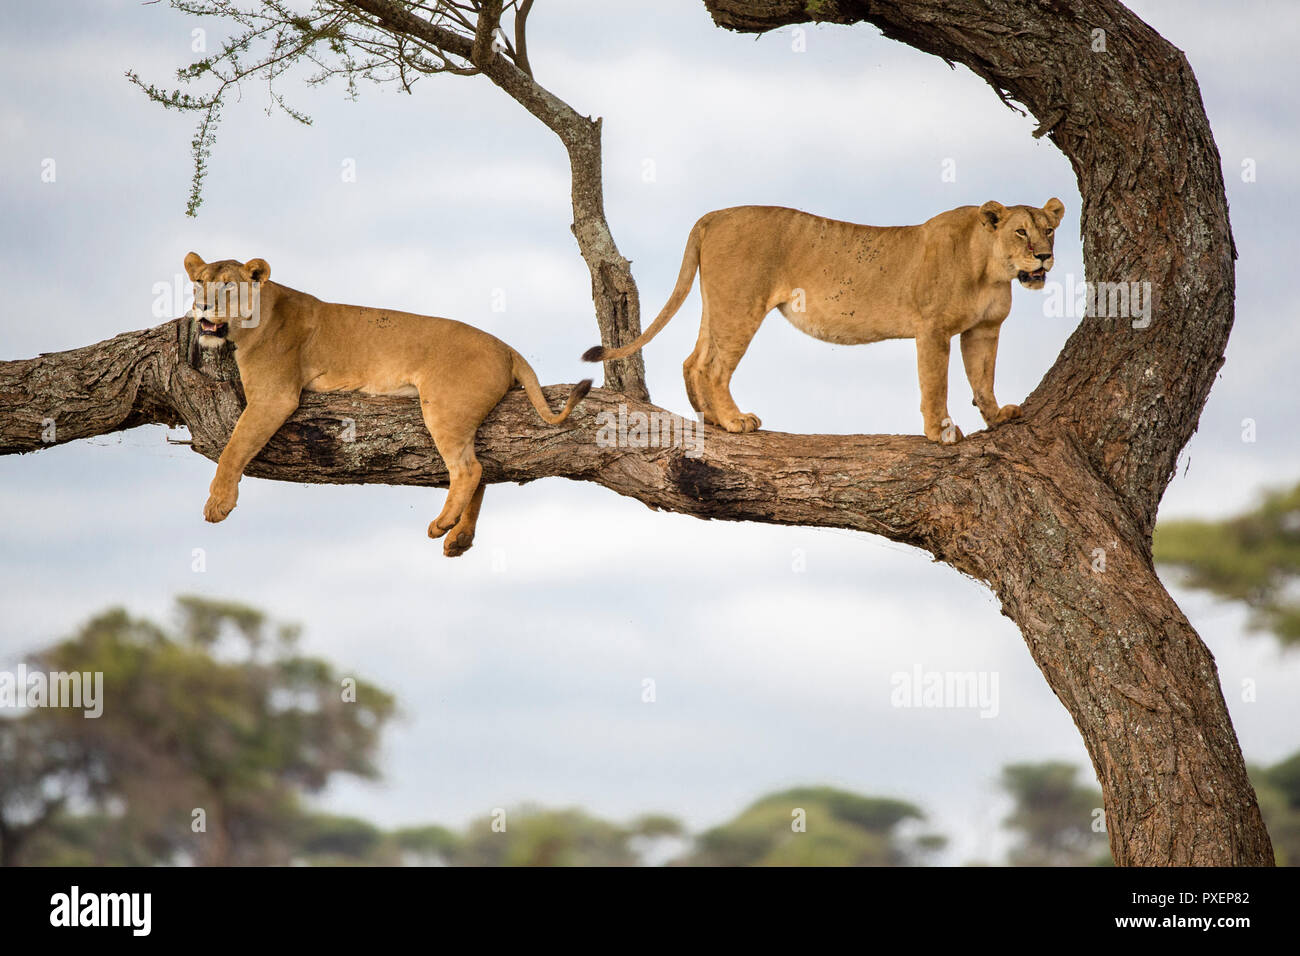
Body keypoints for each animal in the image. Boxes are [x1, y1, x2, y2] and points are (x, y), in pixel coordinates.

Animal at [184, 252, 591, 557]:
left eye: (228, 286)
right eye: (200, 282)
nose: (201, 306)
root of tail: (506, 347)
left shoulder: (275, 395)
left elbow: (234, 448)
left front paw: (217, 504)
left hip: (444, 406)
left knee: (468, 470)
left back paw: (442, 525)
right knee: (484, 471)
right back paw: (458, 539)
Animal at [583, 199, 1064, 443]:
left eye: (1049, 229)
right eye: (1021, 231)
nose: (1045, 256)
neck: (991, 269)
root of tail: (714, 215)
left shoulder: (984, 330)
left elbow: (983, 378)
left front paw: (997, 417)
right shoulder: (932, 330)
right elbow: (936, 385)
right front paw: (939, 432)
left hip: (717, 304)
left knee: (692, 360)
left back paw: (713, 420)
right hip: (741, 305)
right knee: (712, 367)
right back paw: (735, 421)